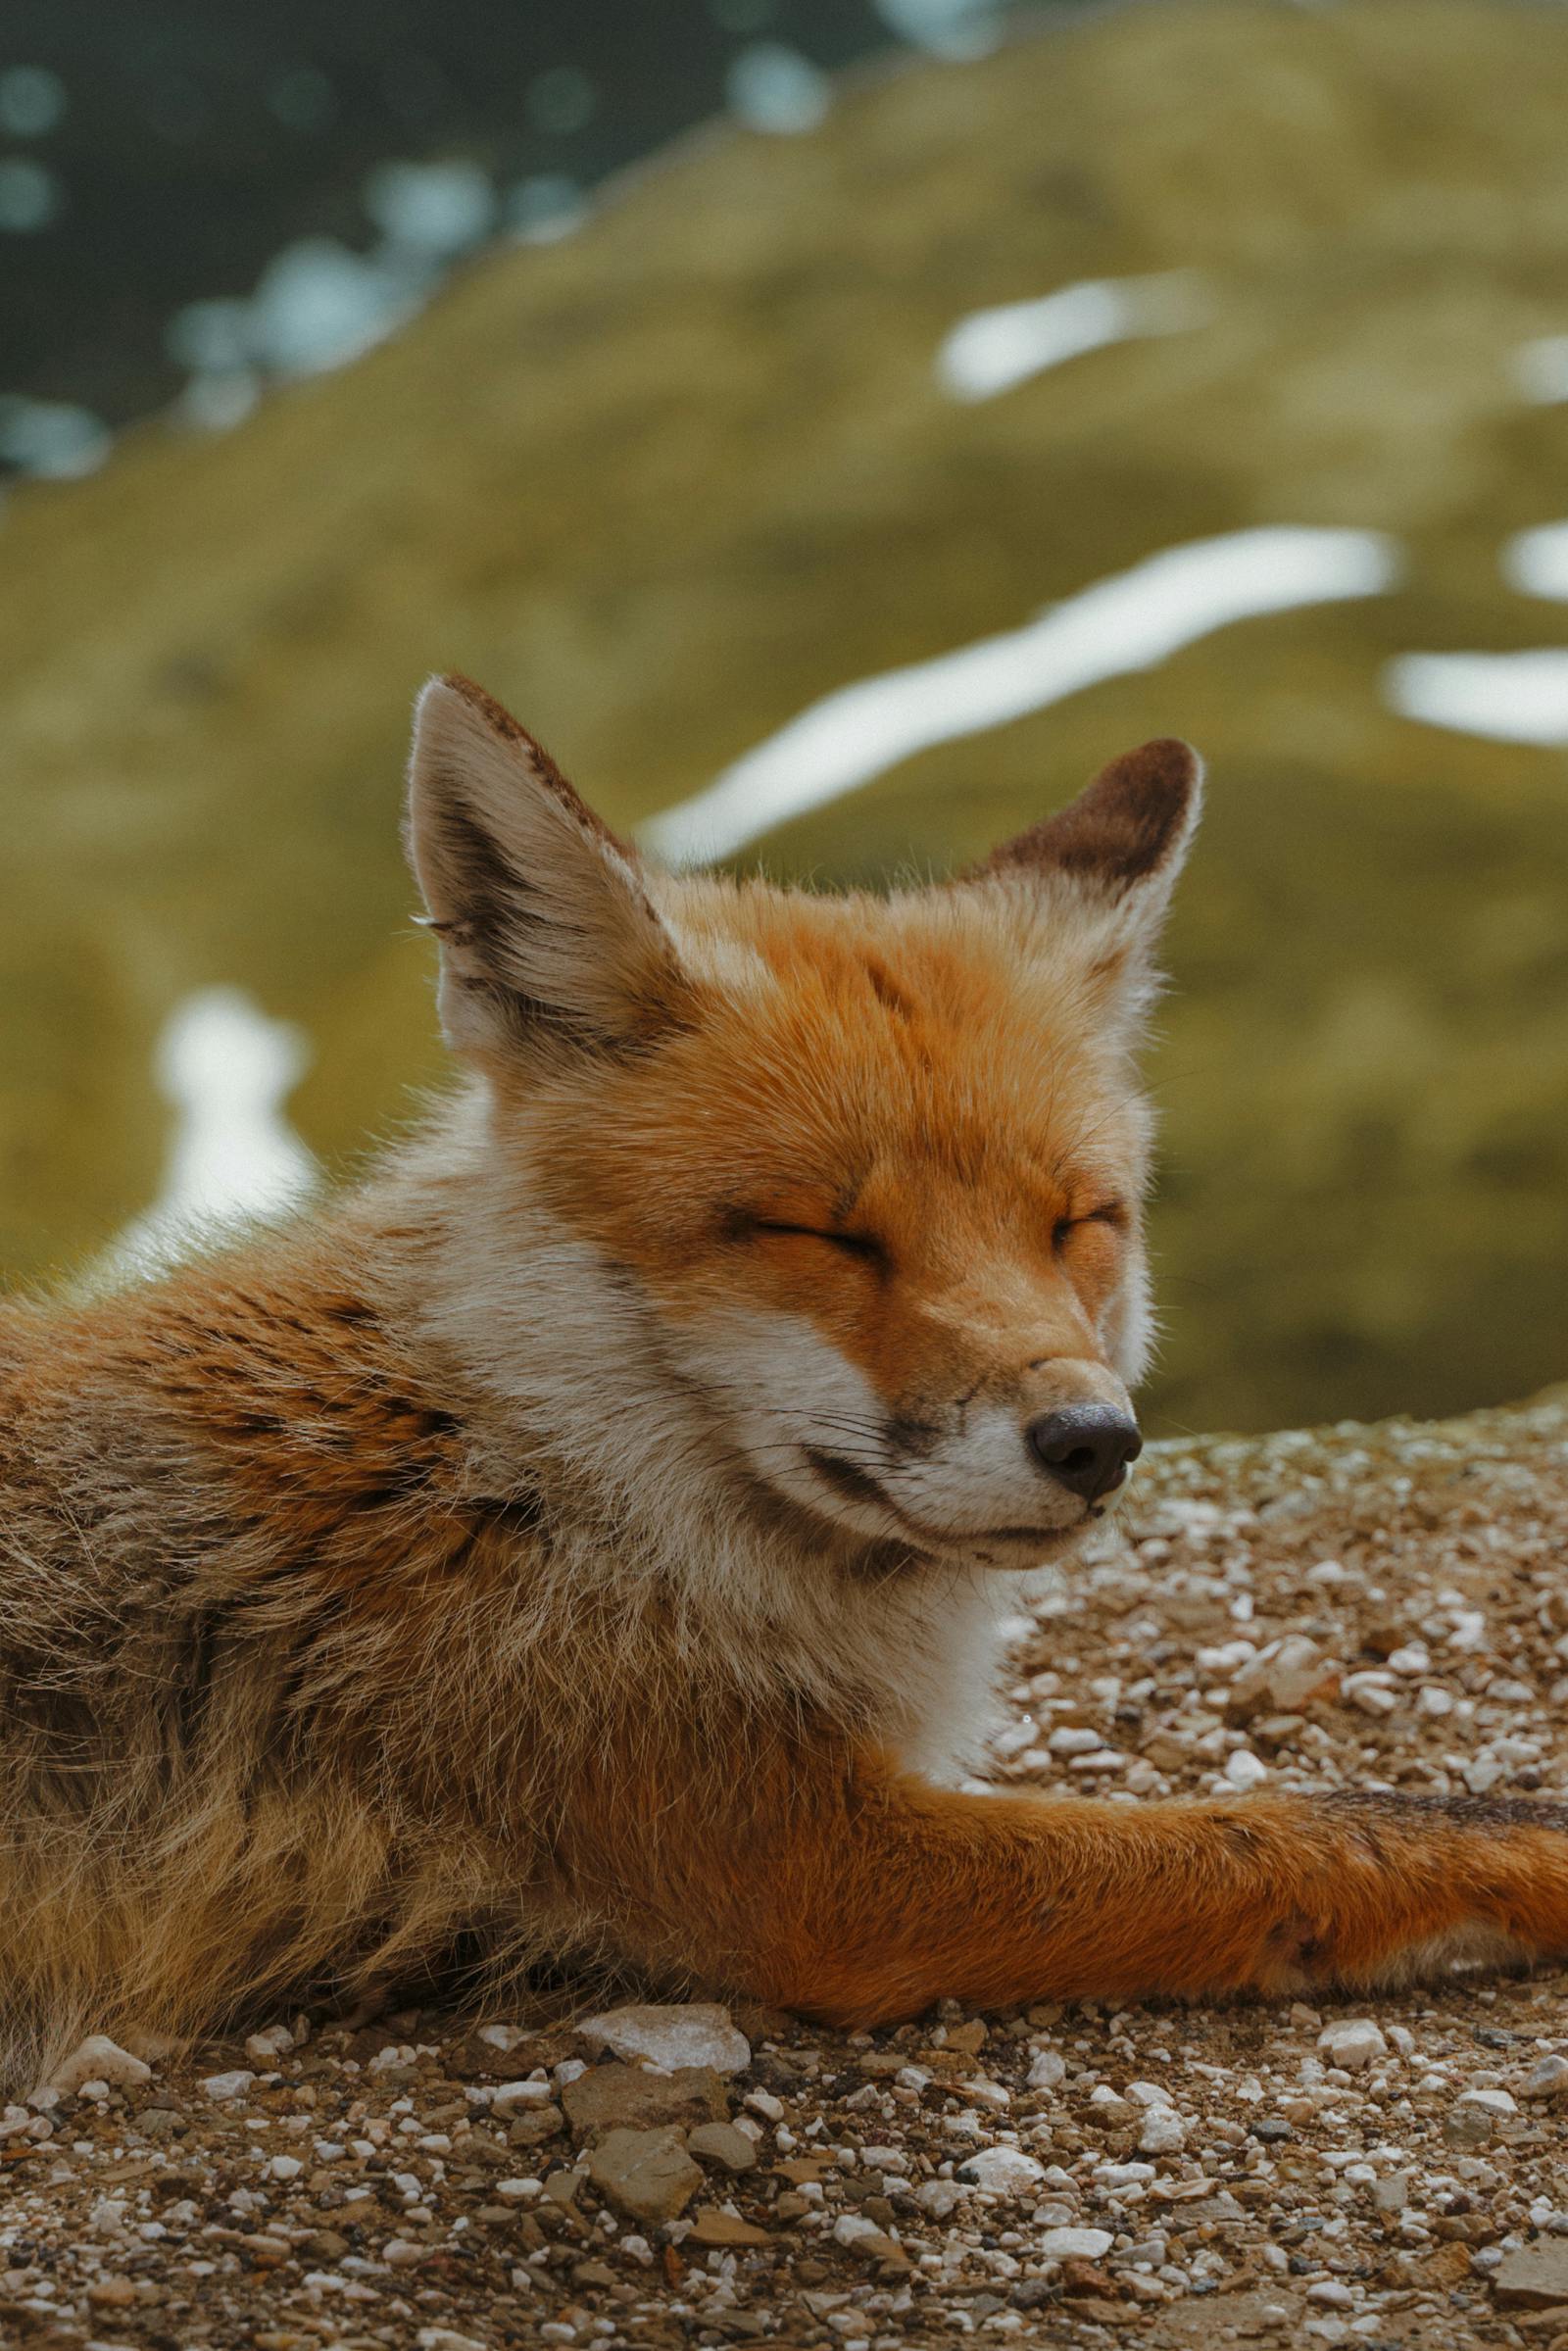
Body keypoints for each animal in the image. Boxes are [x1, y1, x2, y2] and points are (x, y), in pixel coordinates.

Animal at [3, 670, 1567, 2098]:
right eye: (828, 1234)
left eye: (1078, 1220)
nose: (1093, 1440)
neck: (511, 1466)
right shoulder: (811, 1859)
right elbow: (1303, 1827)